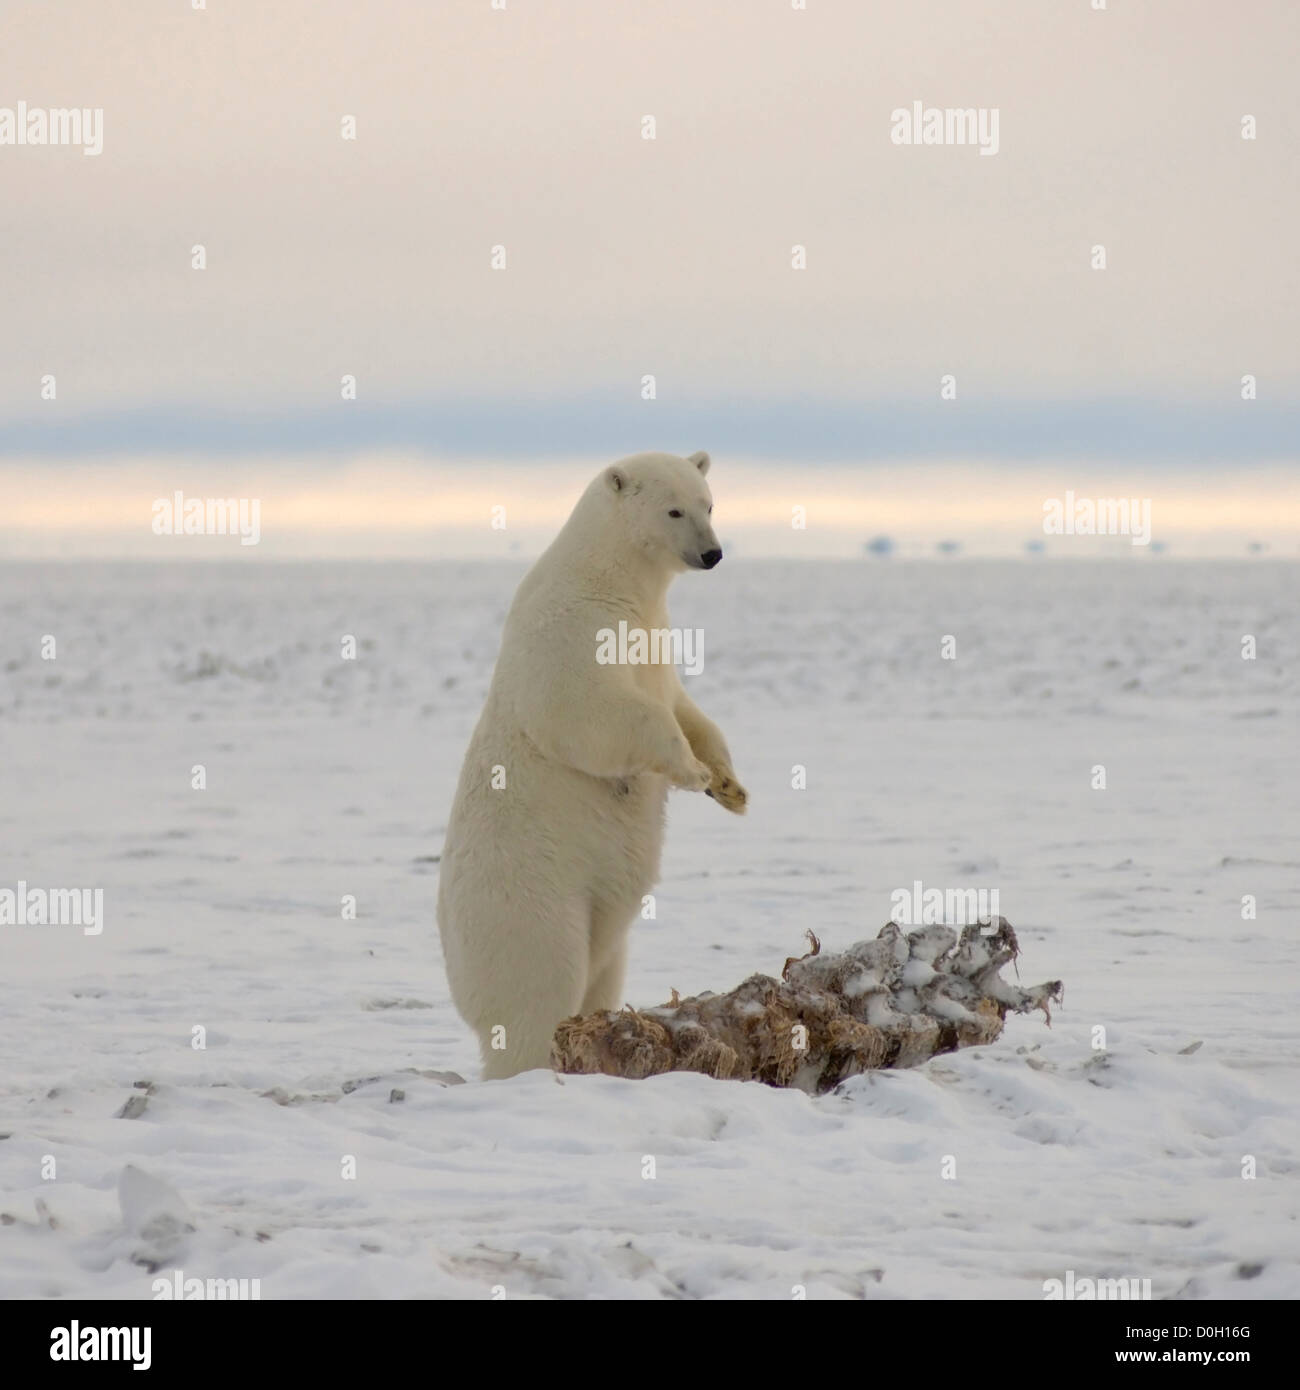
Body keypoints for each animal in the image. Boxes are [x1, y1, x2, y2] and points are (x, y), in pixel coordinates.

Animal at [436, 450, 747, 1080]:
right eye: (673, 510)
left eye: (709, 503)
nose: (712, 553)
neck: (608, 576)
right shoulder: (572, 627)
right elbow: (590, 709)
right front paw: (690, 772)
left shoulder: (655, 634)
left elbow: (685, 706)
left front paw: (729, 785)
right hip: (528, 895)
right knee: (539, 986)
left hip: (601, 929)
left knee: (603, 971)